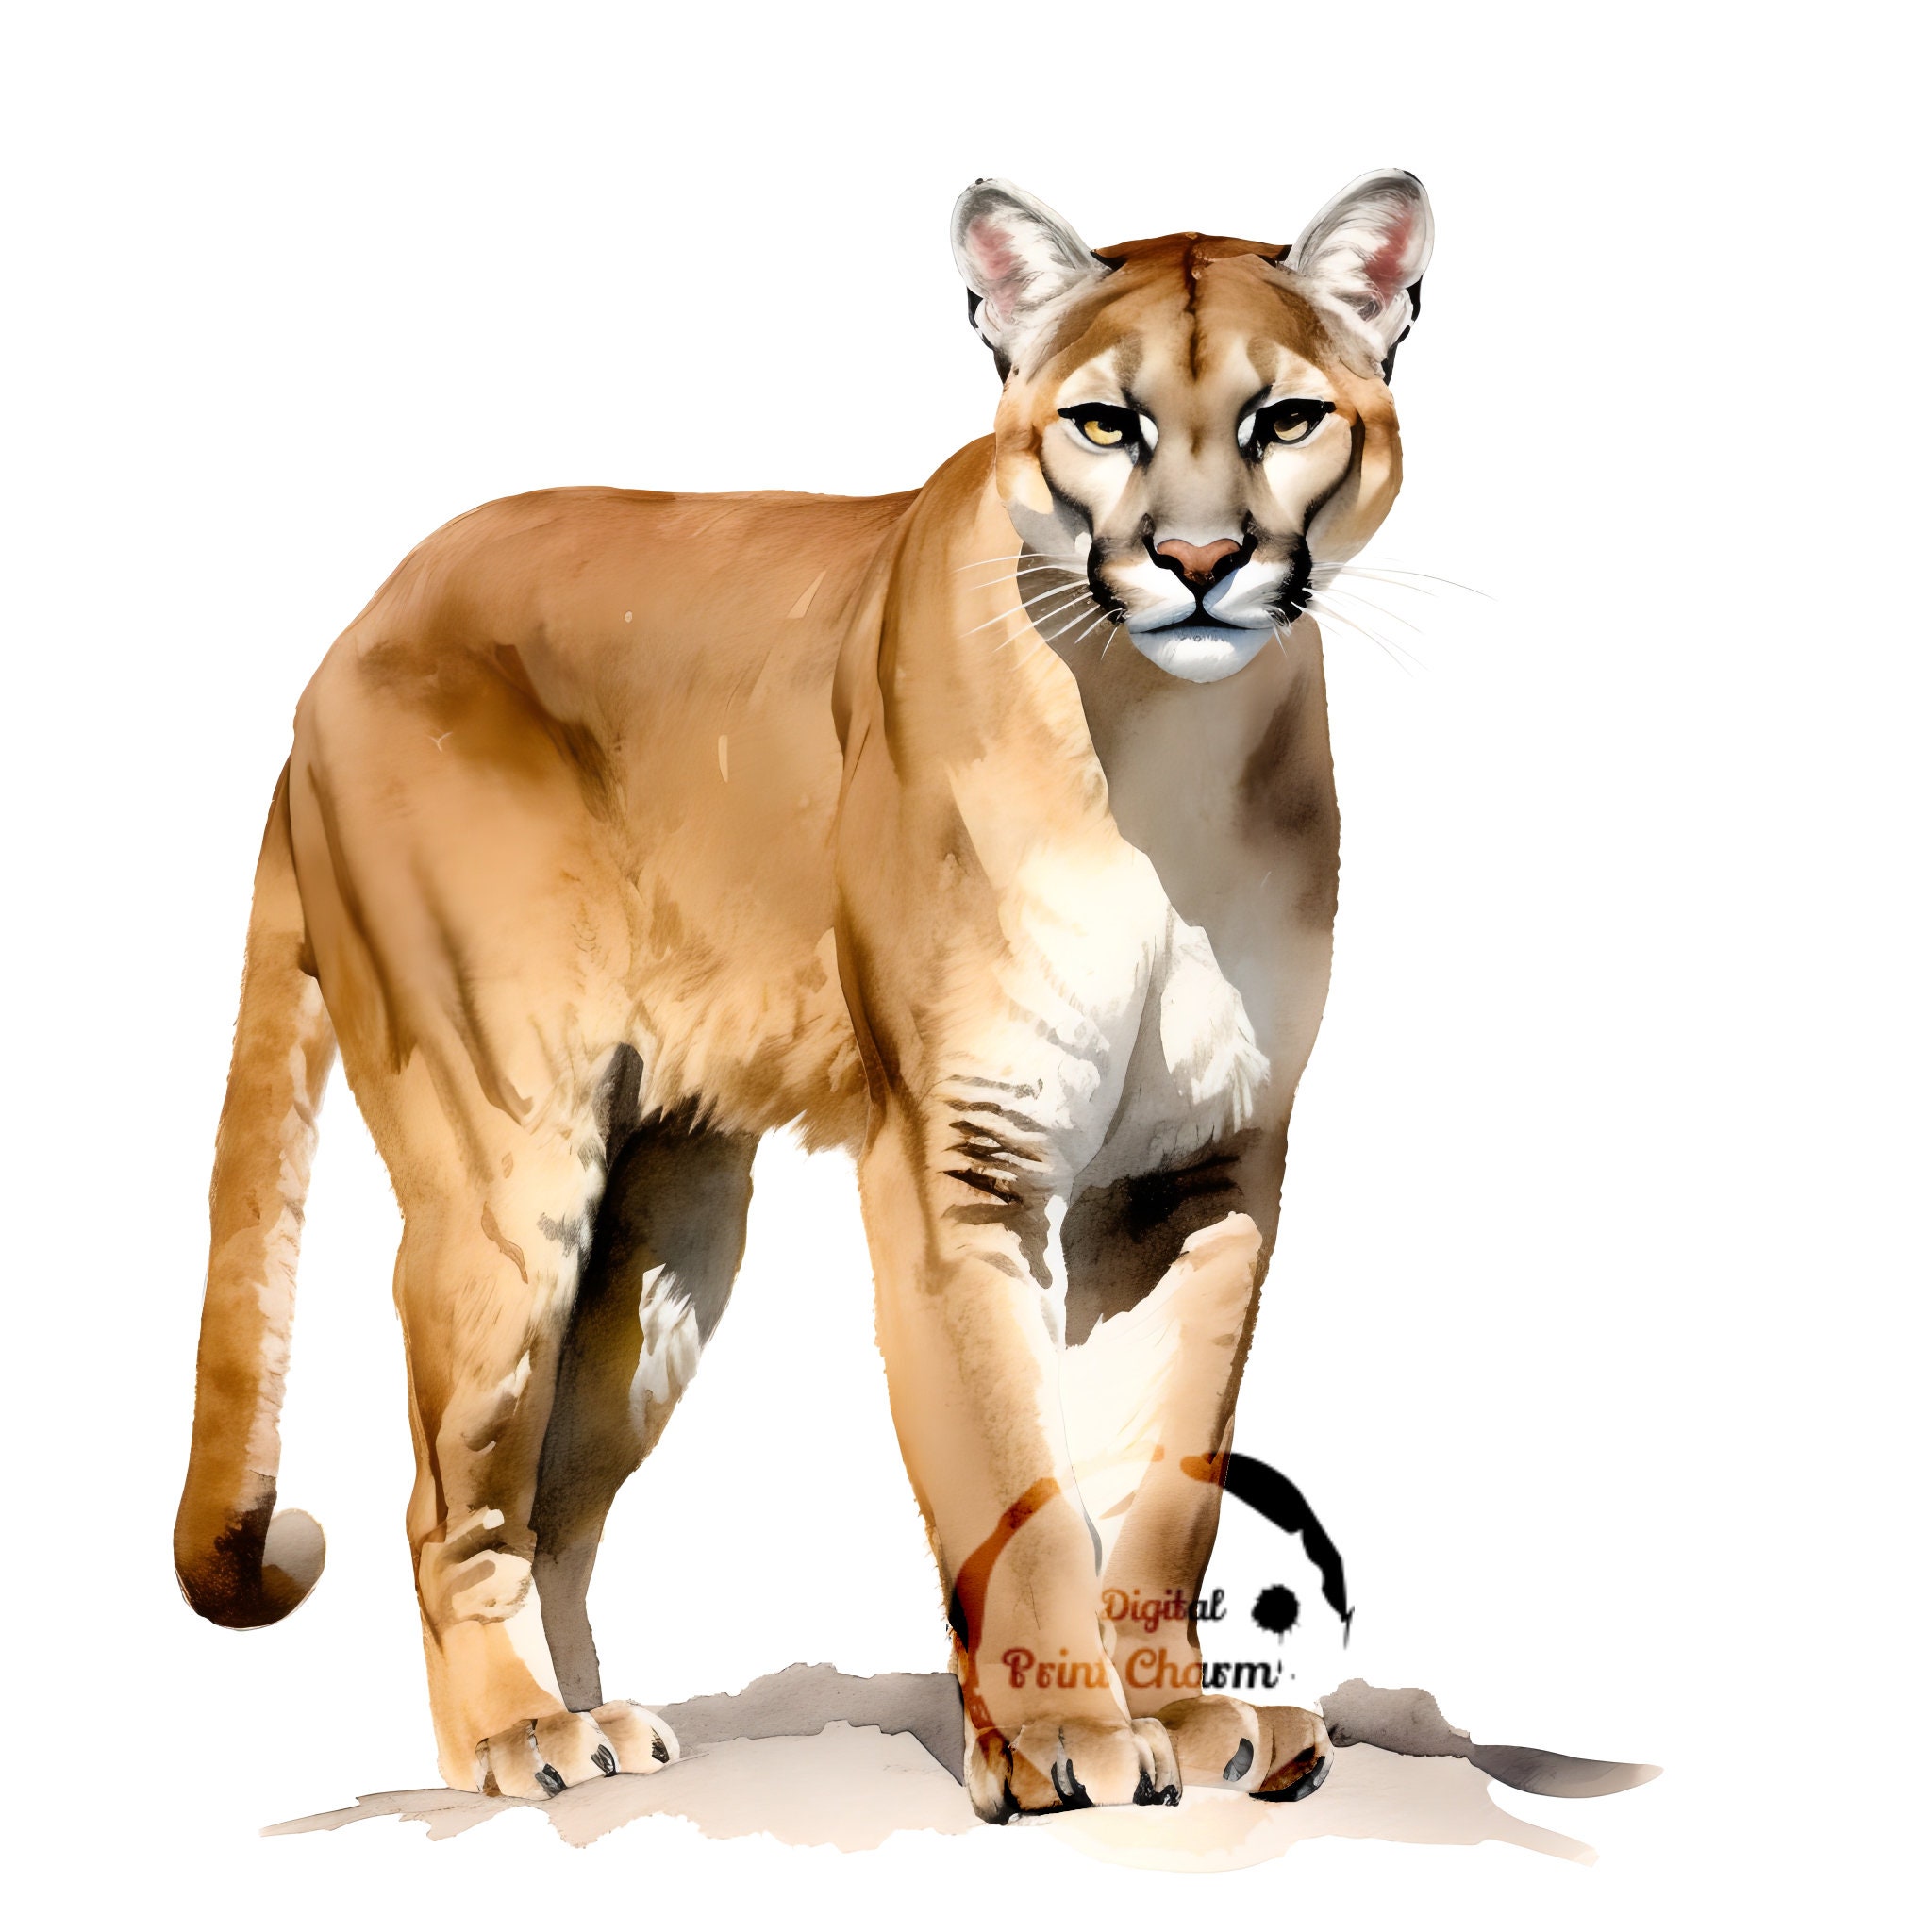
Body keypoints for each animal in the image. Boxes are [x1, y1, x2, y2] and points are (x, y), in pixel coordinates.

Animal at [174, 170, 1433, 1821]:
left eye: (1284, 419)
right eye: (1107, 423)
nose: (1203, 559)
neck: (1165, 745)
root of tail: (339, 649)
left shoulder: (1206, 1170)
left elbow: (1171, 1471)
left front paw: (1180, 1711)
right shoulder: (959, 1155)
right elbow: (1013, 1478)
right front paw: (1067, 1740)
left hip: (667, 1234)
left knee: (557, 1499)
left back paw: (605, 1720)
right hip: (507, 1174)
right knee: (454, 1497)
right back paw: (516, 1735)